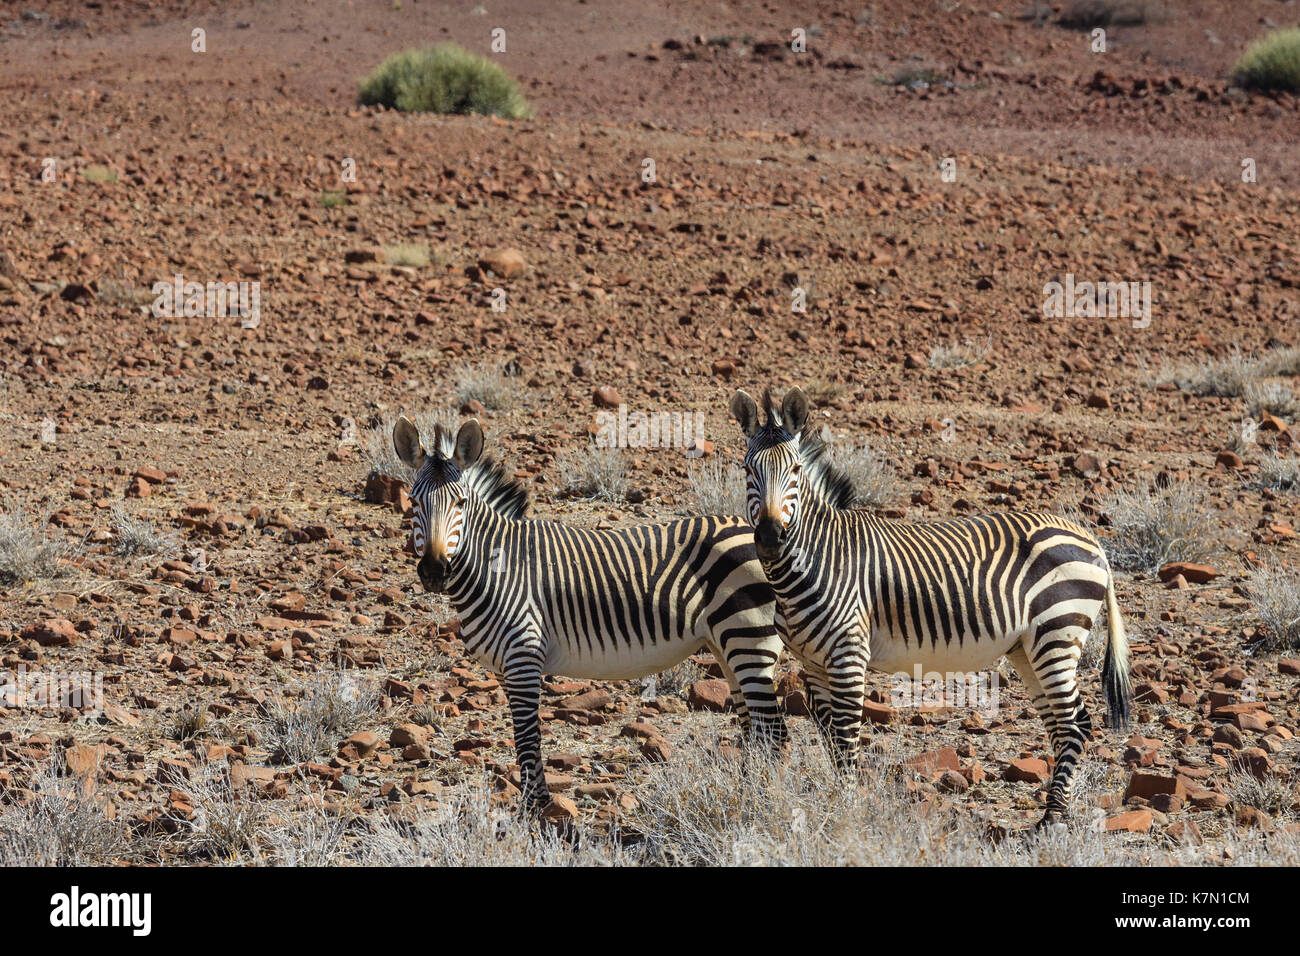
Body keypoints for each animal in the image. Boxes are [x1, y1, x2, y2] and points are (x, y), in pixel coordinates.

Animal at [393, 415, 789, 813]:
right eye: (413, 501)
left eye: (460, 503)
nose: (434, 570)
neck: (499, 567)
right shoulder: (507, 668)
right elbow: (523, 739)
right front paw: (532, 807)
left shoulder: (523, 658)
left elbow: (527, 739)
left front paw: (535, 812)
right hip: (726, 645)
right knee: (753, 726)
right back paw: (744, 793)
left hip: (748, 639)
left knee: (772, 731)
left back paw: (760, 801)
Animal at [728, 386, 1132, 826]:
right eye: (748, 469)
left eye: (796, 471)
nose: (770, 537)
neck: (819, 558)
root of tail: (1090, 539)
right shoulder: (813, 662)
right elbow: (832, 738)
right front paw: (836, 805)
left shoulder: (849, 654)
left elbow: (847, 736)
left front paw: (847, 811)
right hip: (1028, 649)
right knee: (1060, 724)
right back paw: (1054, 813)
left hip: (1056, 632)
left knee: (1076, 723)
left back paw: (1051, 820)